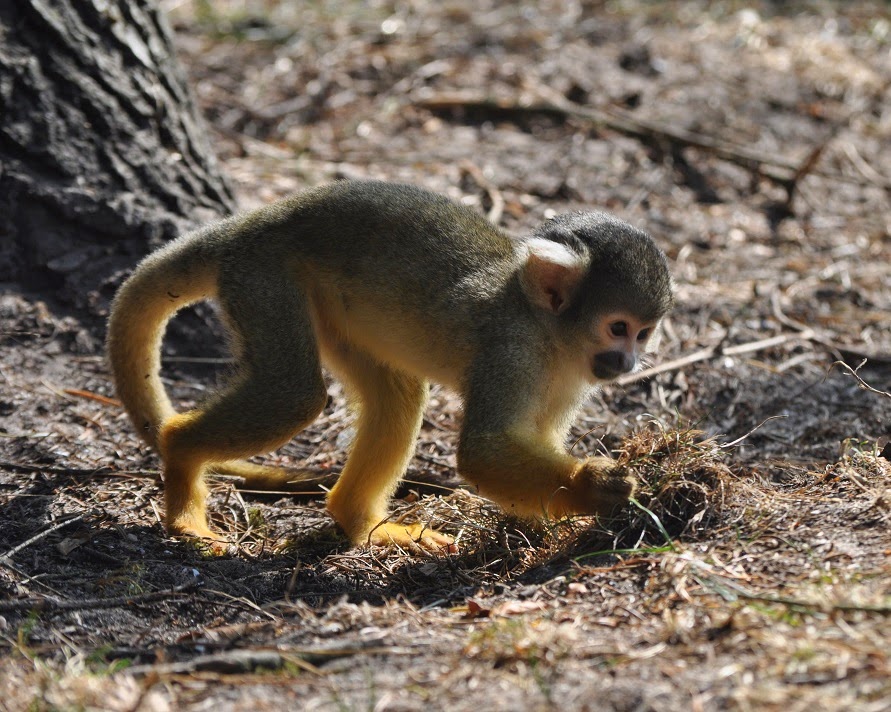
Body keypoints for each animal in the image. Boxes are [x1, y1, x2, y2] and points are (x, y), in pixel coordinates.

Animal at [107, 180, 673, 552]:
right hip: (263, 276)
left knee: (395, 396)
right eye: (617, 327)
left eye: (643, 333)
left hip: (328, 308)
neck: (549, 332)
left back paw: (361, 522)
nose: (628, 360)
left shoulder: (572, 375)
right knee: (294, 394)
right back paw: (182, 467)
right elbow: (483, 451)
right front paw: (594, 487)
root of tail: (247, 225)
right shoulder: (511, 350)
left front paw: (542, 521)